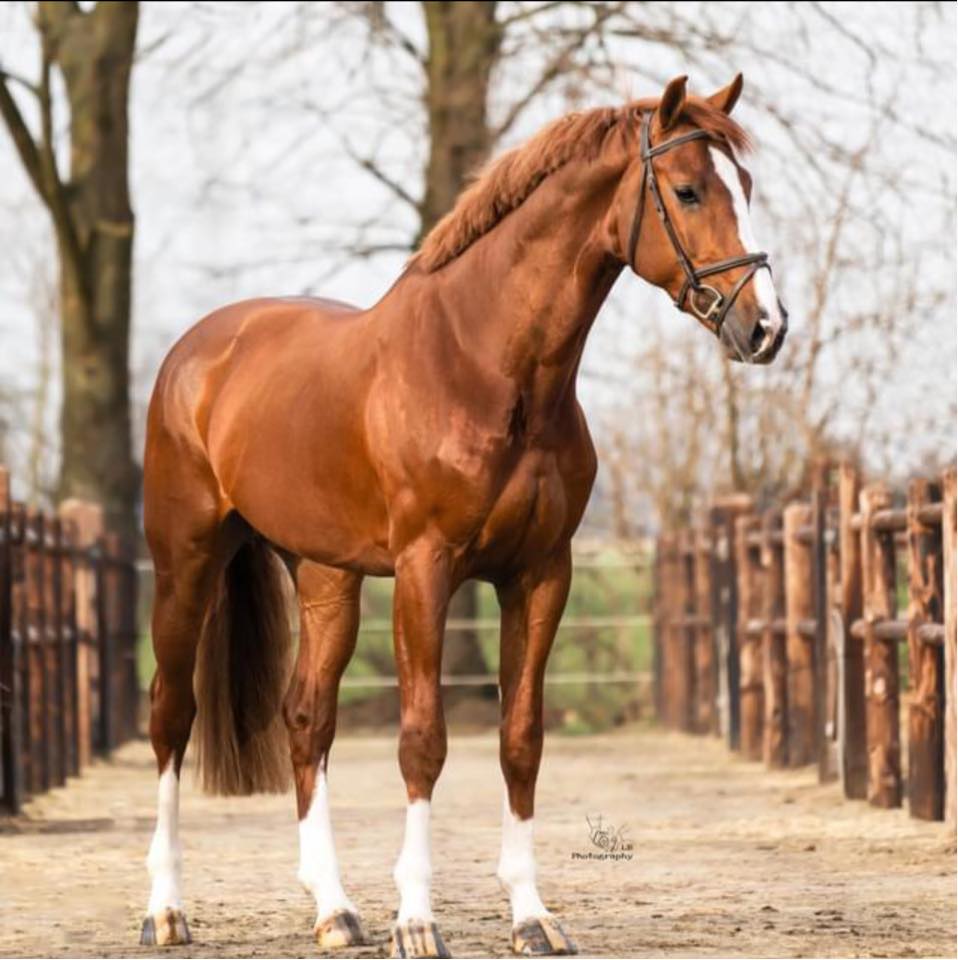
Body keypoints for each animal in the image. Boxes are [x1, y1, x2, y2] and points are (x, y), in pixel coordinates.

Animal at [139, 73, 787, 958]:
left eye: (746, 186)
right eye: (688, 190)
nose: (766, 327)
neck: (484, 367)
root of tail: (200, 351)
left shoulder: (541, 574)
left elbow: (521, 740)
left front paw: (531, 915)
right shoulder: (426, 569)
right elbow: (424, 739)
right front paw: (417, 920)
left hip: (325, 577)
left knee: (307, 719)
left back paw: (335, 911)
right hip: (187, 562)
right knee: (172, 716)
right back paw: (166, 910)